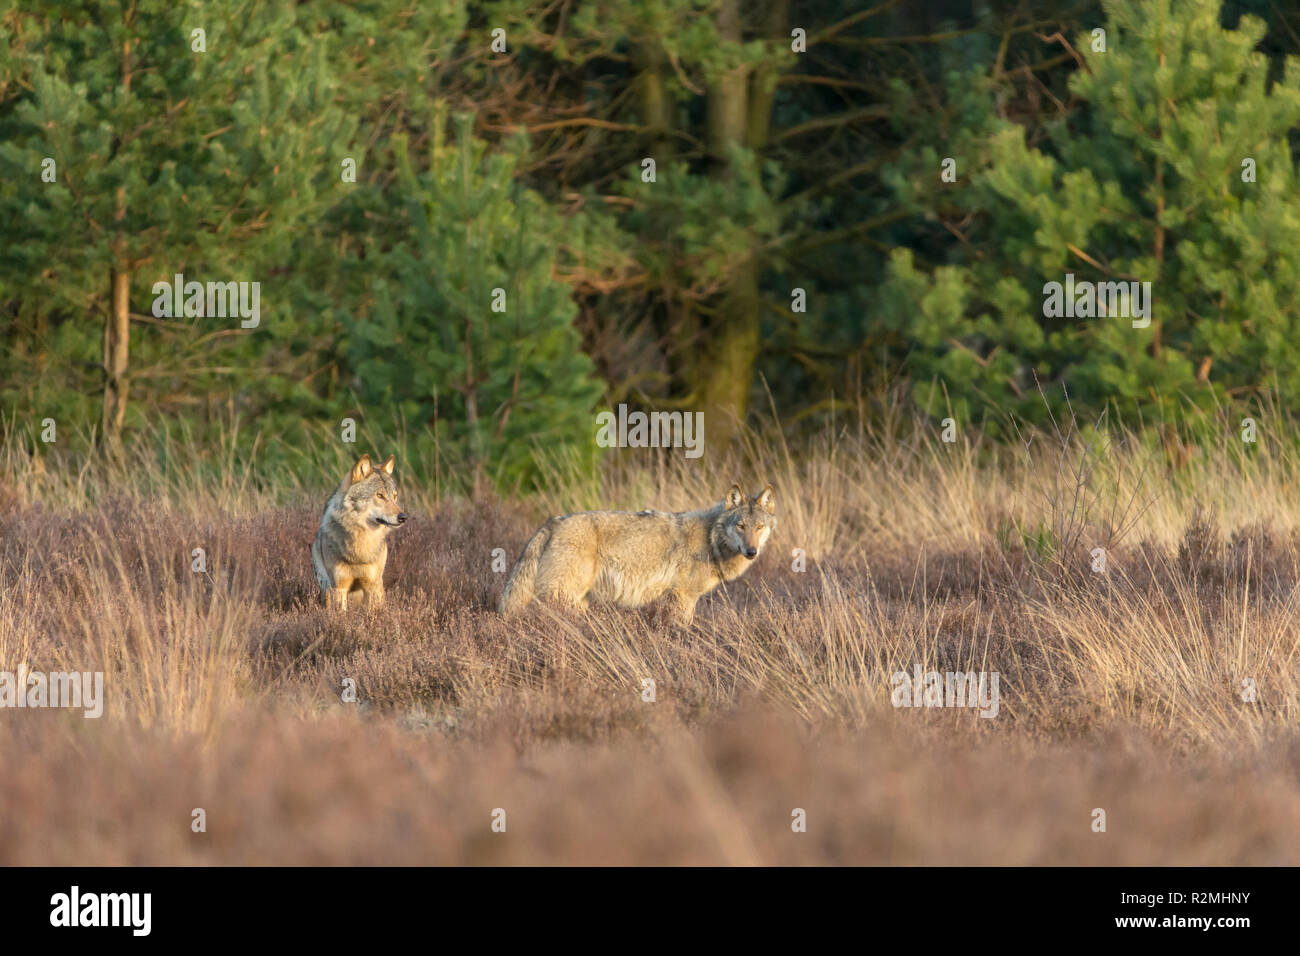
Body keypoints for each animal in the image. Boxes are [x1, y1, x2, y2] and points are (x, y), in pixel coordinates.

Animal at [499, 483, 775, 622]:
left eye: (759, 527)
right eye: (741, 526)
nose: (751, 551)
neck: (710, 539)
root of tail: (552, 522)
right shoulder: (684, 597)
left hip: (578, 599)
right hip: (565, 596)